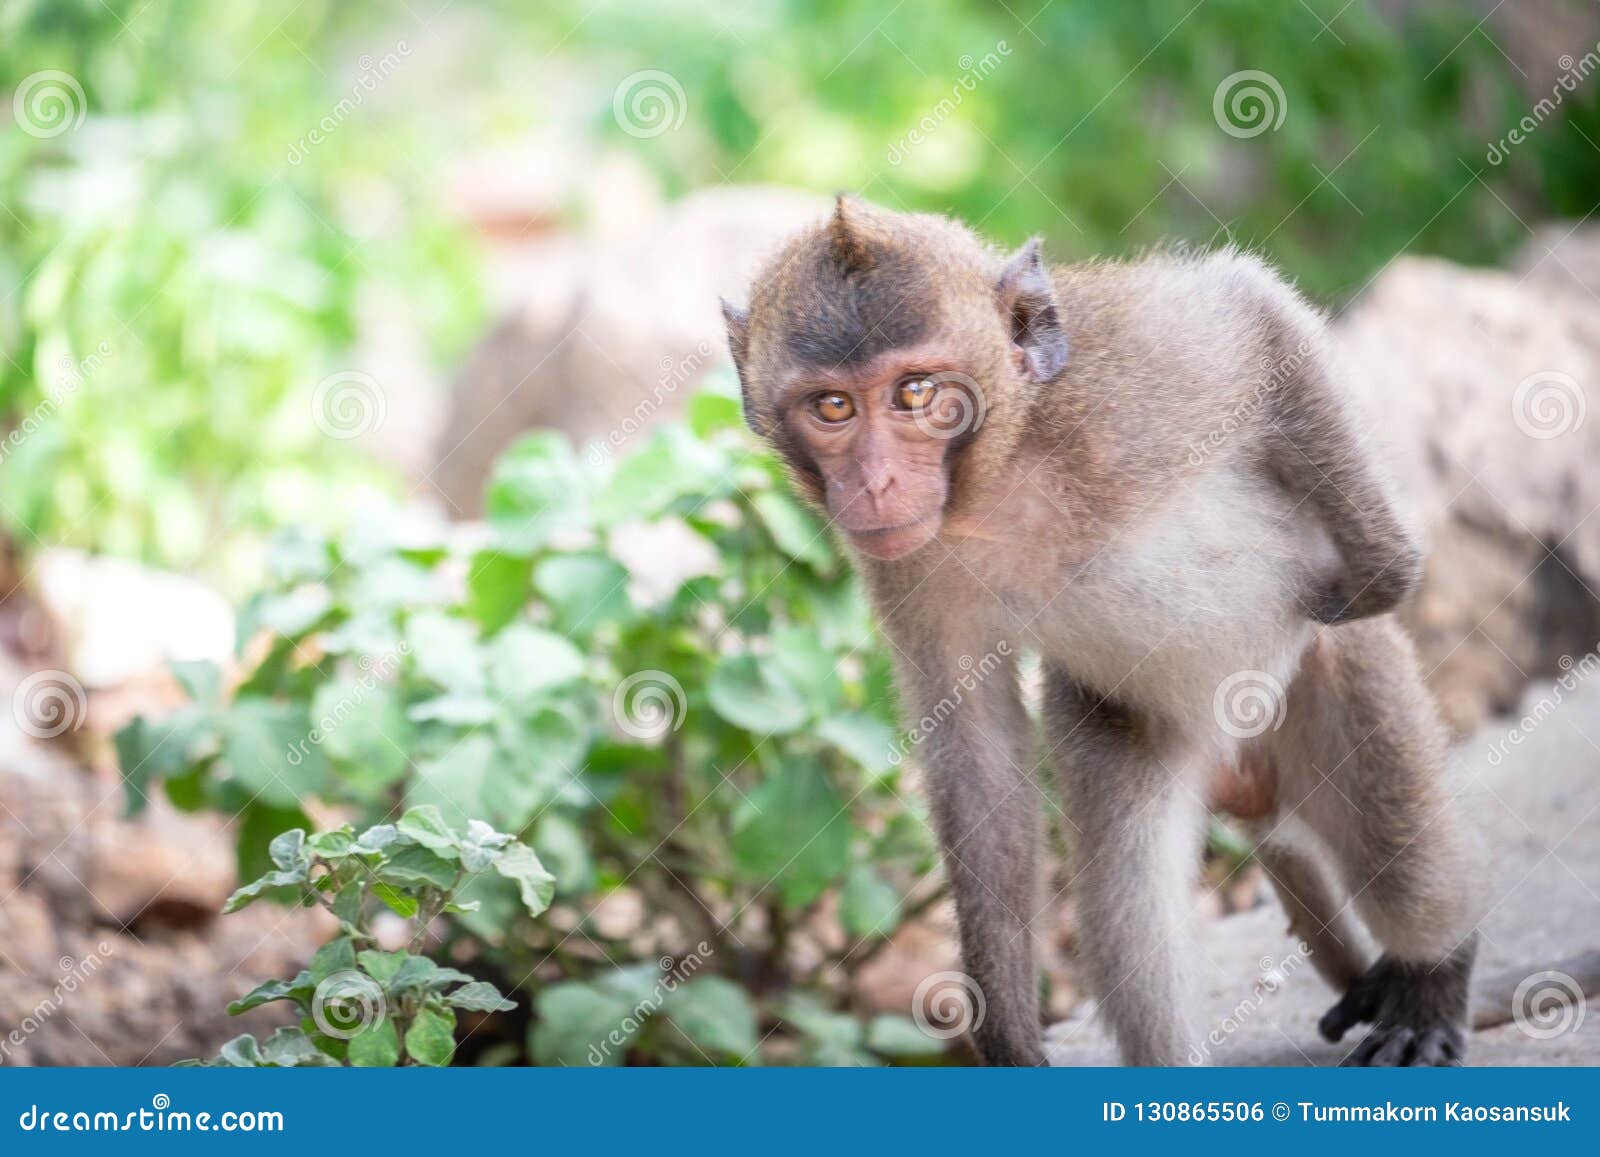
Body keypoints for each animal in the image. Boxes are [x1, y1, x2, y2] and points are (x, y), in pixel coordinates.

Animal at [722, 197, 1481, 1067]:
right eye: (833, 407)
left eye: (916, 392)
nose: (876, 482)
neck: (1002, 475)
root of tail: (1243, 774)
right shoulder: (908, 568)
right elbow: (981, 769)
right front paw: (1012, 1043)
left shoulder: (1131, 378)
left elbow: (1255, 315)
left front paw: (1381, 569)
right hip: (1128, 731)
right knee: (1129, 902)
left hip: (1330, 677)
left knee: (1399, 848)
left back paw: (1432, 983)